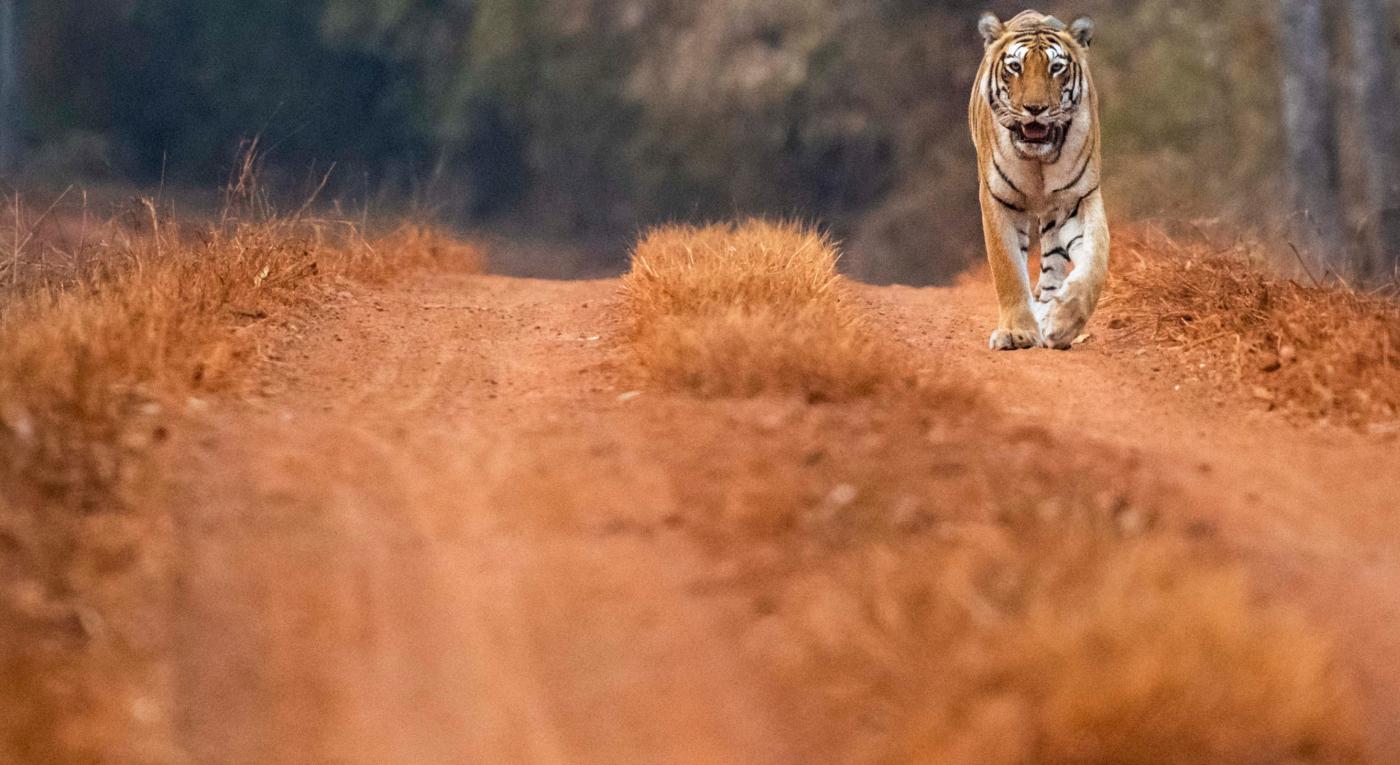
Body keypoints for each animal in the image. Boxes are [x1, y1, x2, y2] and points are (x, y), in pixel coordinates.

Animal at [969, 10, 1108, 351]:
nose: (1035, 109)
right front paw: (1017, 332)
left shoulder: (1079, 198)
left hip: (1054, 215)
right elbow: (1008, 269)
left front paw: (1063, 321)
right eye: (1015, 67)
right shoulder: (998, 200)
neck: (1038, 160)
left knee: (1052, 265)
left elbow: (1096, 260)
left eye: (1055, 67)